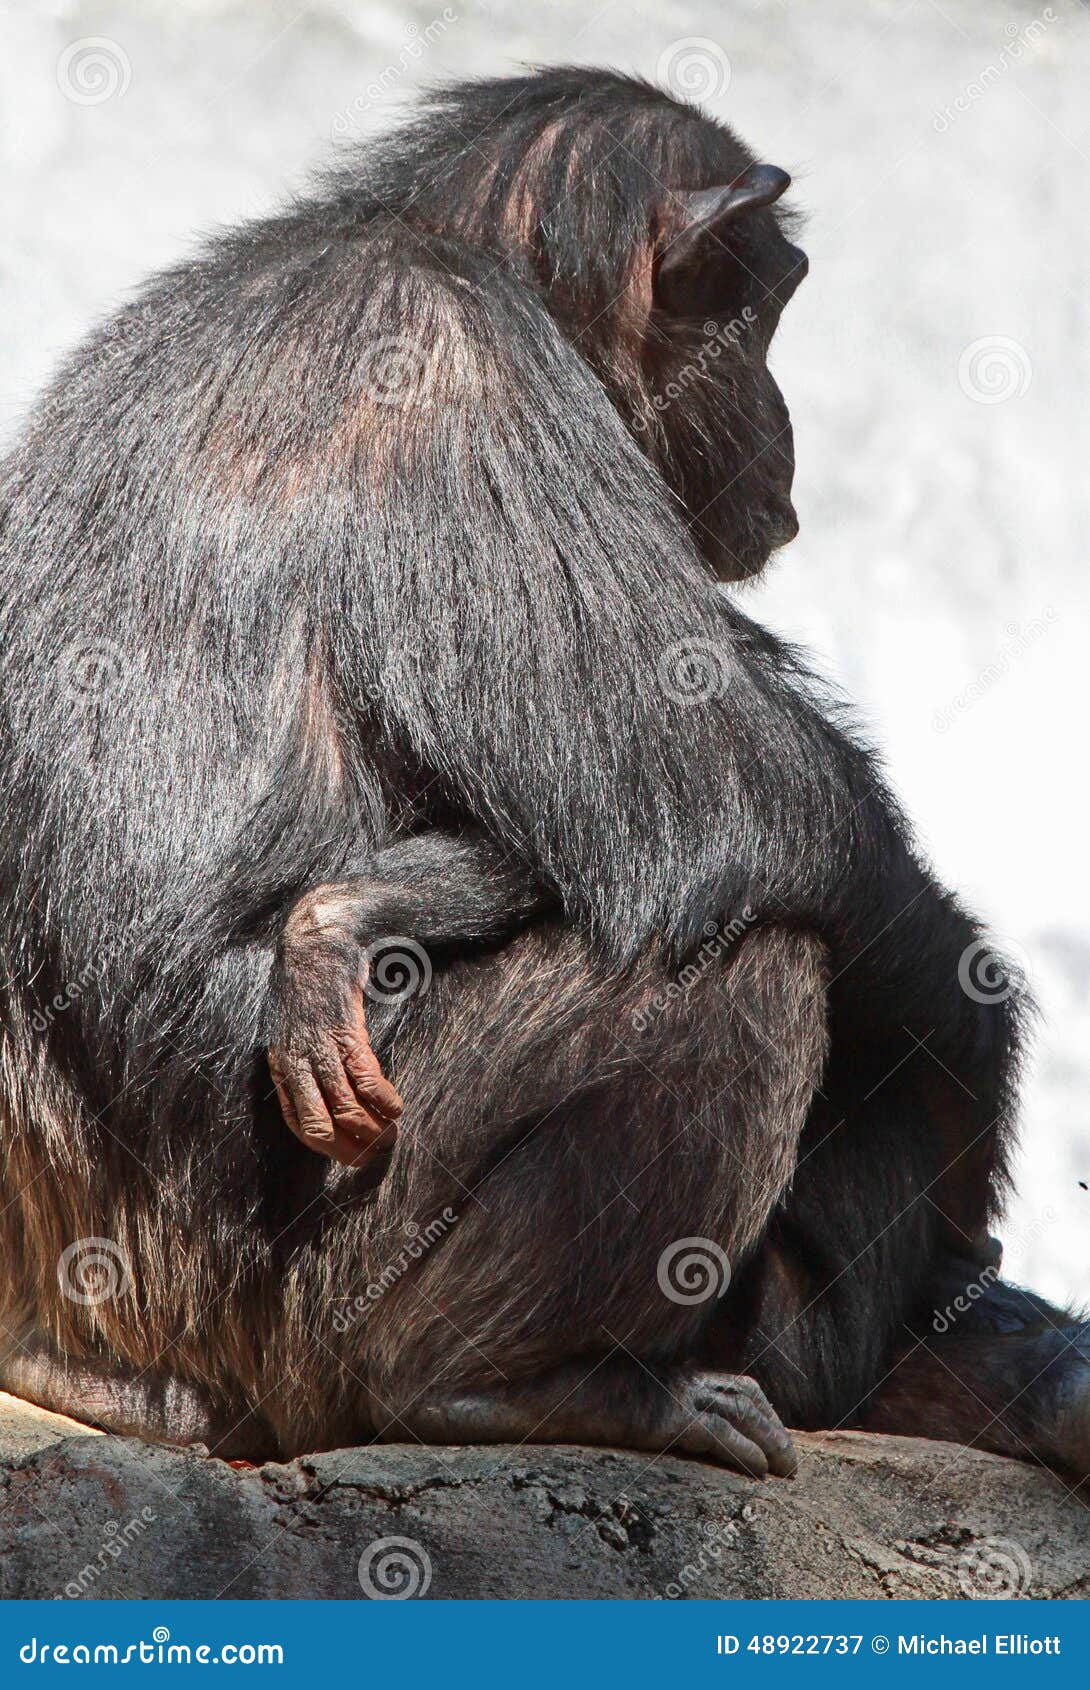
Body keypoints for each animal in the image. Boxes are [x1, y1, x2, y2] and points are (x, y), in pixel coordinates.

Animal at [0, 68, 1086, 1479]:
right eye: (772, 304)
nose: (785, 413)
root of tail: (111, 1360)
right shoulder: (462, 369)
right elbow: (713, 805)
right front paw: (965, 1074)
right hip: (298, 1298)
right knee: (744, 961)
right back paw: (513, 1384)